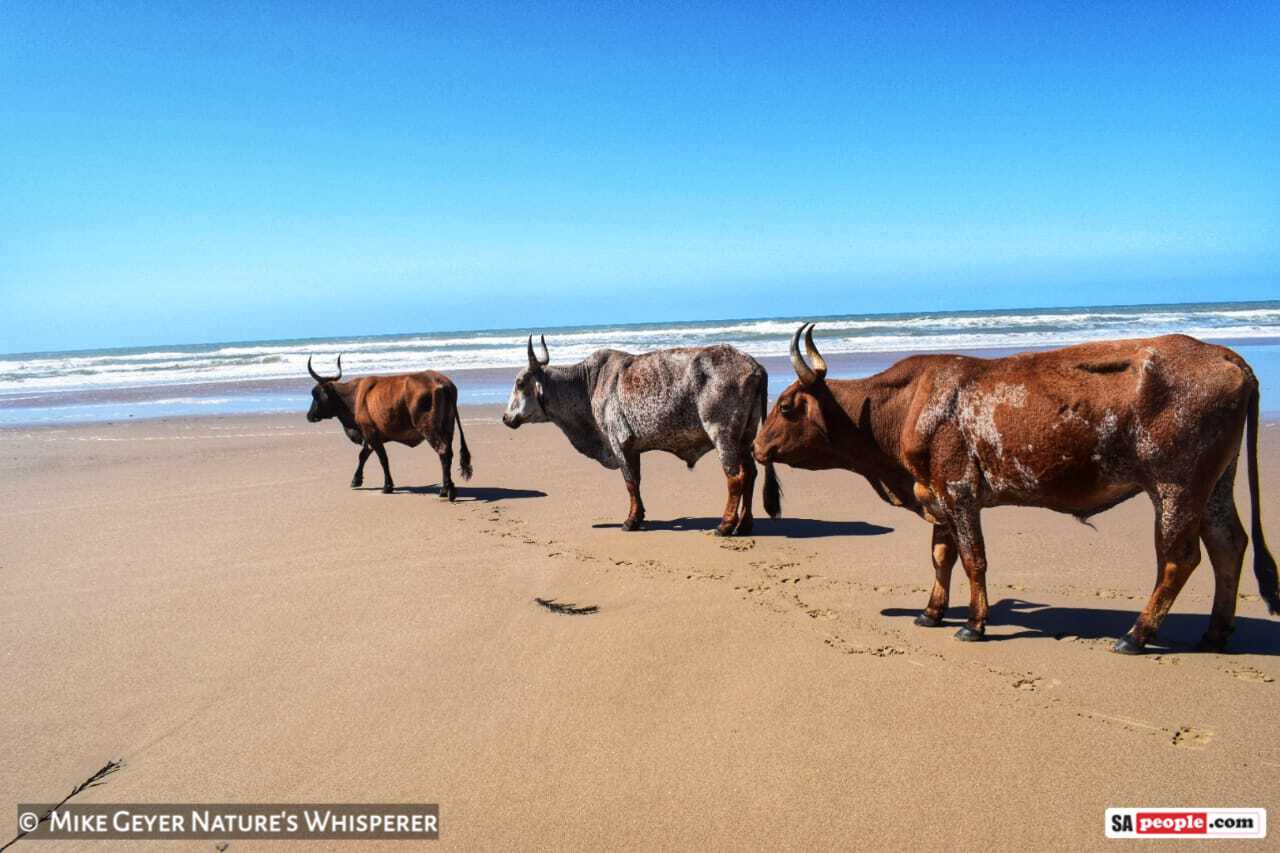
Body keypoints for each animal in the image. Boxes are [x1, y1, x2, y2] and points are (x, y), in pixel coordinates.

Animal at [305, 355, 472, 500]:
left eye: (315, 394)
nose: (309, 416)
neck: (354, 395)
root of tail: (441, 382)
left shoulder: (370, 433)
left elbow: (382, 459)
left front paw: (387, 486)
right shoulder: (370, 436)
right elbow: (363, 455)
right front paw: (356, 480)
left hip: (430, 428)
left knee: (443, 452)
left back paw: (447, 491)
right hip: (448, 427)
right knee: (448, 453)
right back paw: (445, 488)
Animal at [502, 335, 781, 535]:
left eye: (520, 383)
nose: (505, 418)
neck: (588, 384)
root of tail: (755, 365)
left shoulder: (618, 443)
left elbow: (629, 483)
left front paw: (630, 521)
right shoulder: (632, 449)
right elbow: (636, 481)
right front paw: (640, 516)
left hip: (723, 434)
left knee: (736, 478)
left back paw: (725, 525)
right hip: (744, 436)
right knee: (751, 474)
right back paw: (744, 524)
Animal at [753, 324, 1277, 653]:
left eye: (786, 407)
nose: (755, 447)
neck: (904, 405)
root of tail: (1227, 356)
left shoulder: (960, 490)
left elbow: (973, 558)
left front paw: (974, 624)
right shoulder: (935, 494)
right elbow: (941, 556)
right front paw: (931, 611)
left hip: (1175, 486)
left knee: (1178, 559)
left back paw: (1137, 634)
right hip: (1214, 484)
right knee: (1229, 546)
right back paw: (1214, 634)